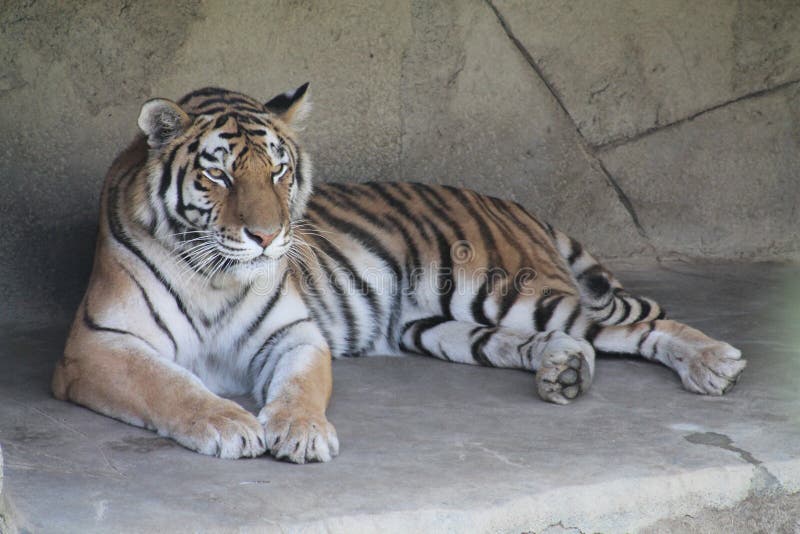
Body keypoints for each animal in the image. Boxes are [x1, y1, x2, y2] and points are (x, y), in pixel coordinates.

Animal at [52, 85, 747, 464]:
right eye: (218, 173)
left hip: (508, 290)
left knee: (641, 320)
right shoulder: (97, 345)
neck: (216, 274)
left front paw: (301, 434)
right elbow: (170, 387)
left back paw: (713, 363)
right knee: (553, 342)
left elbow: (301, 389)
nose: (268, 236)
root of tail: (513, 203)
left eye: (278, 170)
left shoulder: (294, 335)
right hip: (437, 325)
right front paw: (229, 424)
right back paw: (564, 371)